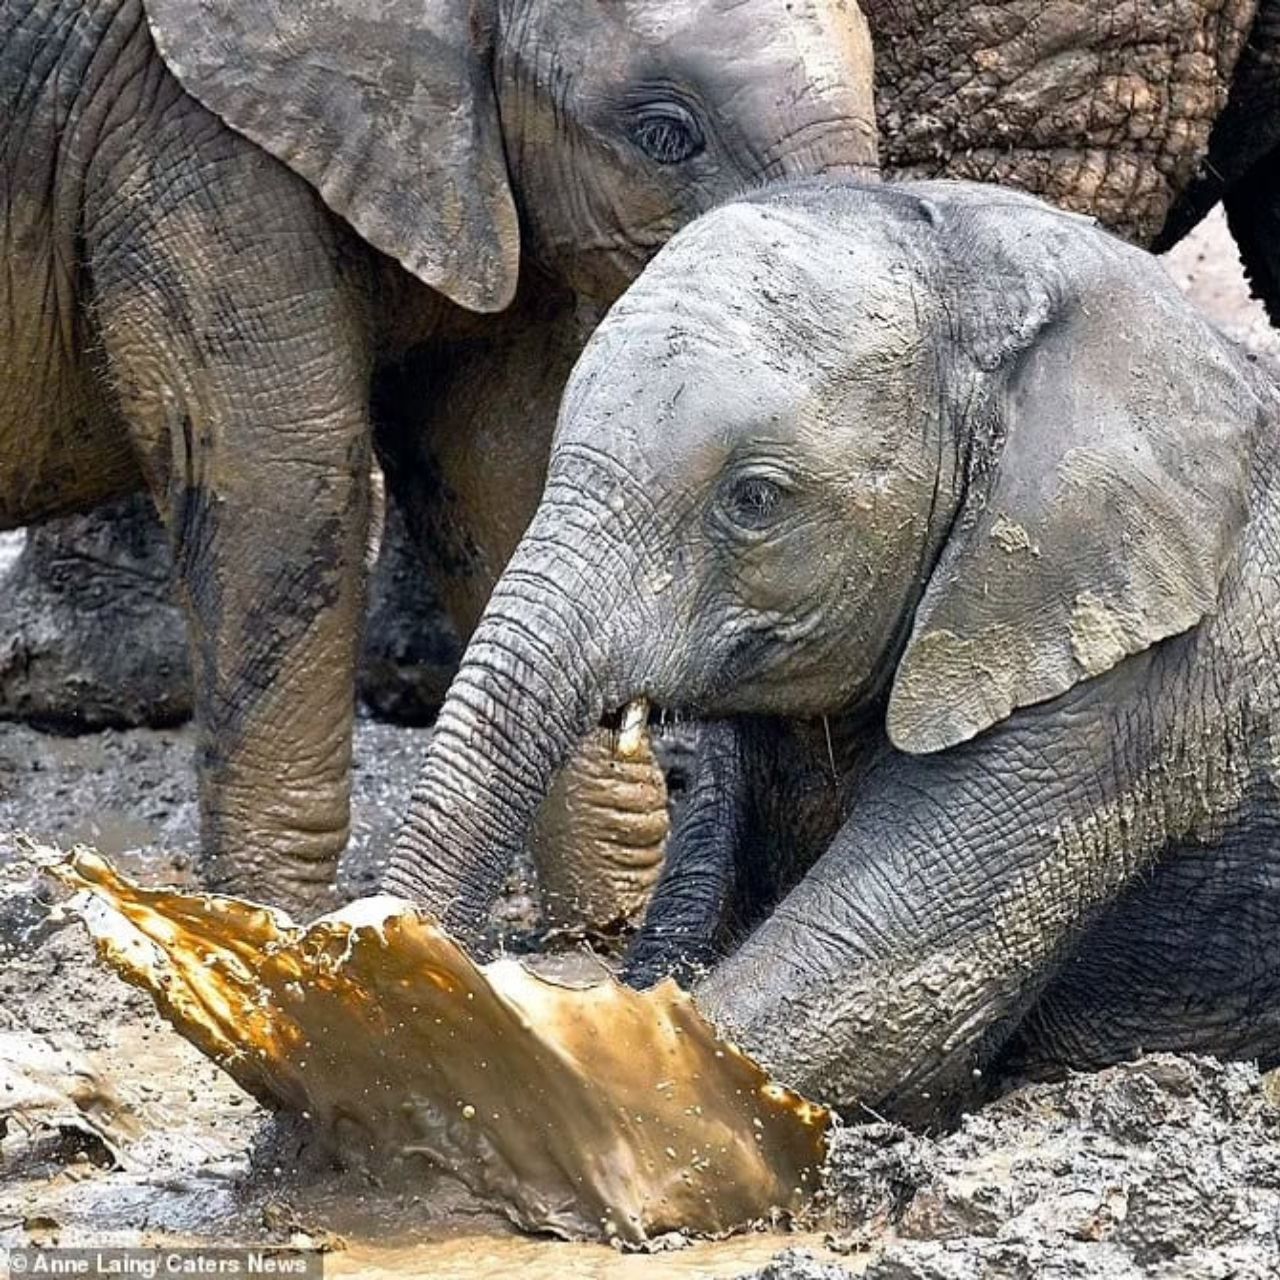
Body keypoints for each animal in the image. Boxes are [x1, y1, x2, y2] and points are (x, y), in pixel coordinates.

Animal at [0, 0, 877, 915]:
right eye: (666, 135)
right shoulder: (183, 135)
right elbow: (283, 482)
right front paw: (272, 921)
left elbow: (500, 471)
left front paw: (594, 930)